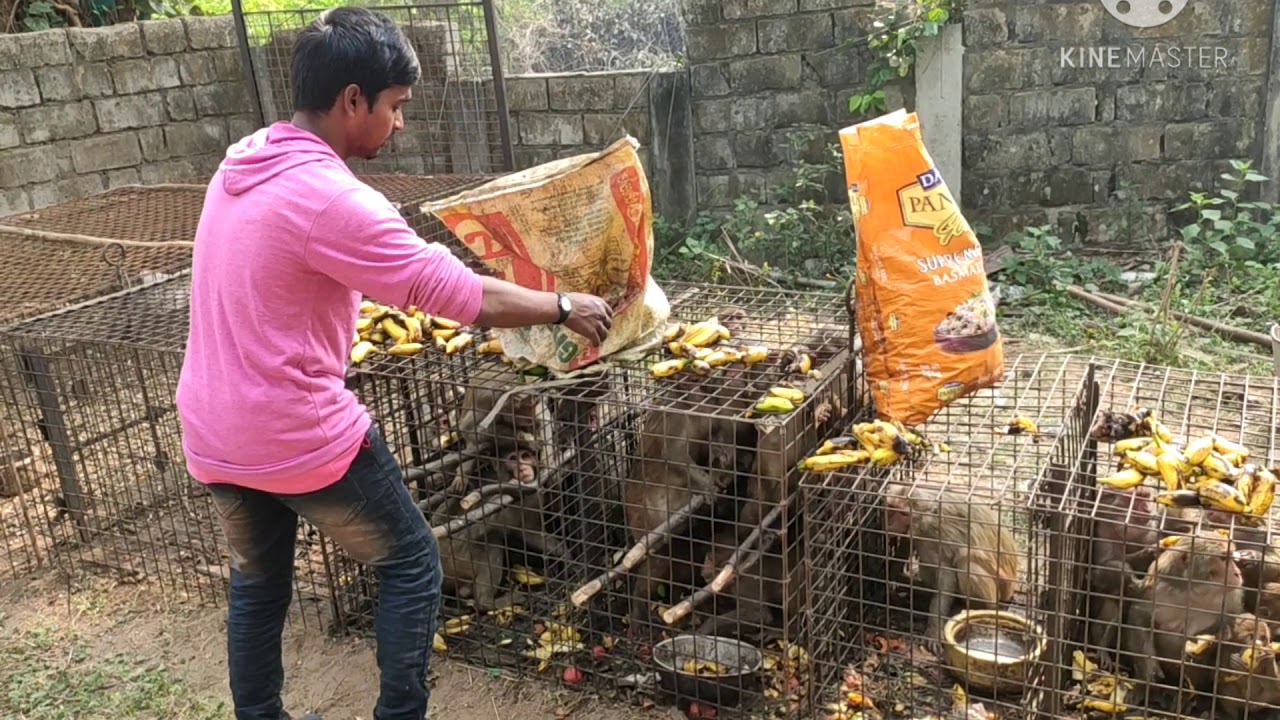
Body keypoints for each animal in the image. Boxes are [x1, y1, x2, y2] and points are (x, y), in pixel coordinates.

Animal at [881, 482, 1021, 653]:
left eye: (903, 514)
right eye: (891, 509)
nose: (889, 523)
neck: (926, 521)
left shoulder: (943, 532)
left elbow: (947, 576)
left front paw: (934, 630)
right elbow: (907, 546)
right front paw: (890, 579)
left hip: (1004, 588)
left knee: (966, 559)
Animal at [1086, 485, 1162, 669]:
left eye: (1146, 496)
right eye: (1134, 499)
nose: (1147, 508)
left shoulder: (1150, 529)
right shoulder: (1104, 533)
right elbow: (1101, 569)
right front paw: (1147, 554)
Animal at [1121, 531, 1245, 690]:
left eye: (1231, 557)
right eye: (1223, 558)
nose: (1237, 573)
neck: (1197, 593)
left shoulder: (1233, 597)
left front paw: (1216, 639)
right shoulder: (1161, 587)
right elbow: (1140, 614)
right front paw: (1148, 666)